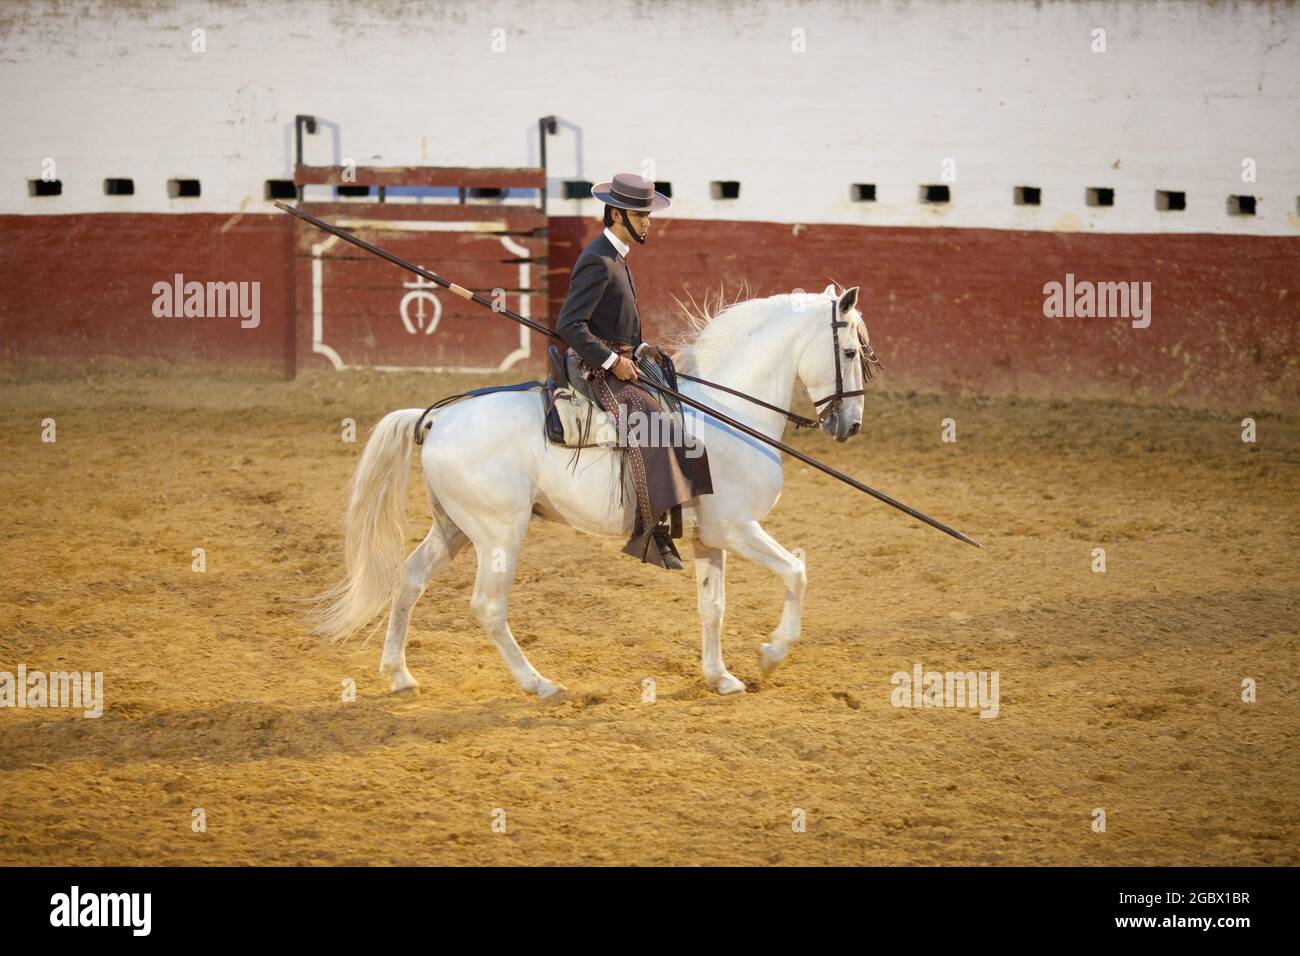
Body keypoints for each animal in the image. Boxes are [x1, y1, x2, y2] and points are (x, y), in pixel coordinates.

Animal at [312, 283, 870, 698]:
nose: (851, 425)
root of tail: (437, 418)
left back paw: (400, 674)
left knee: (409, 579)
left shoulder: (710, 535)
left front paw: (721, 677)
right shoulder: (737, 528)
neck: (723, 414)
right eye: (848, 351)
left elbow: (713, 607)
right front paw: (771, 655)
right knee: (488, 606)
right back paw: (538, 684)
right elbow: (796, 572)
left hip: (454, 527)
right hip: (498, 534)